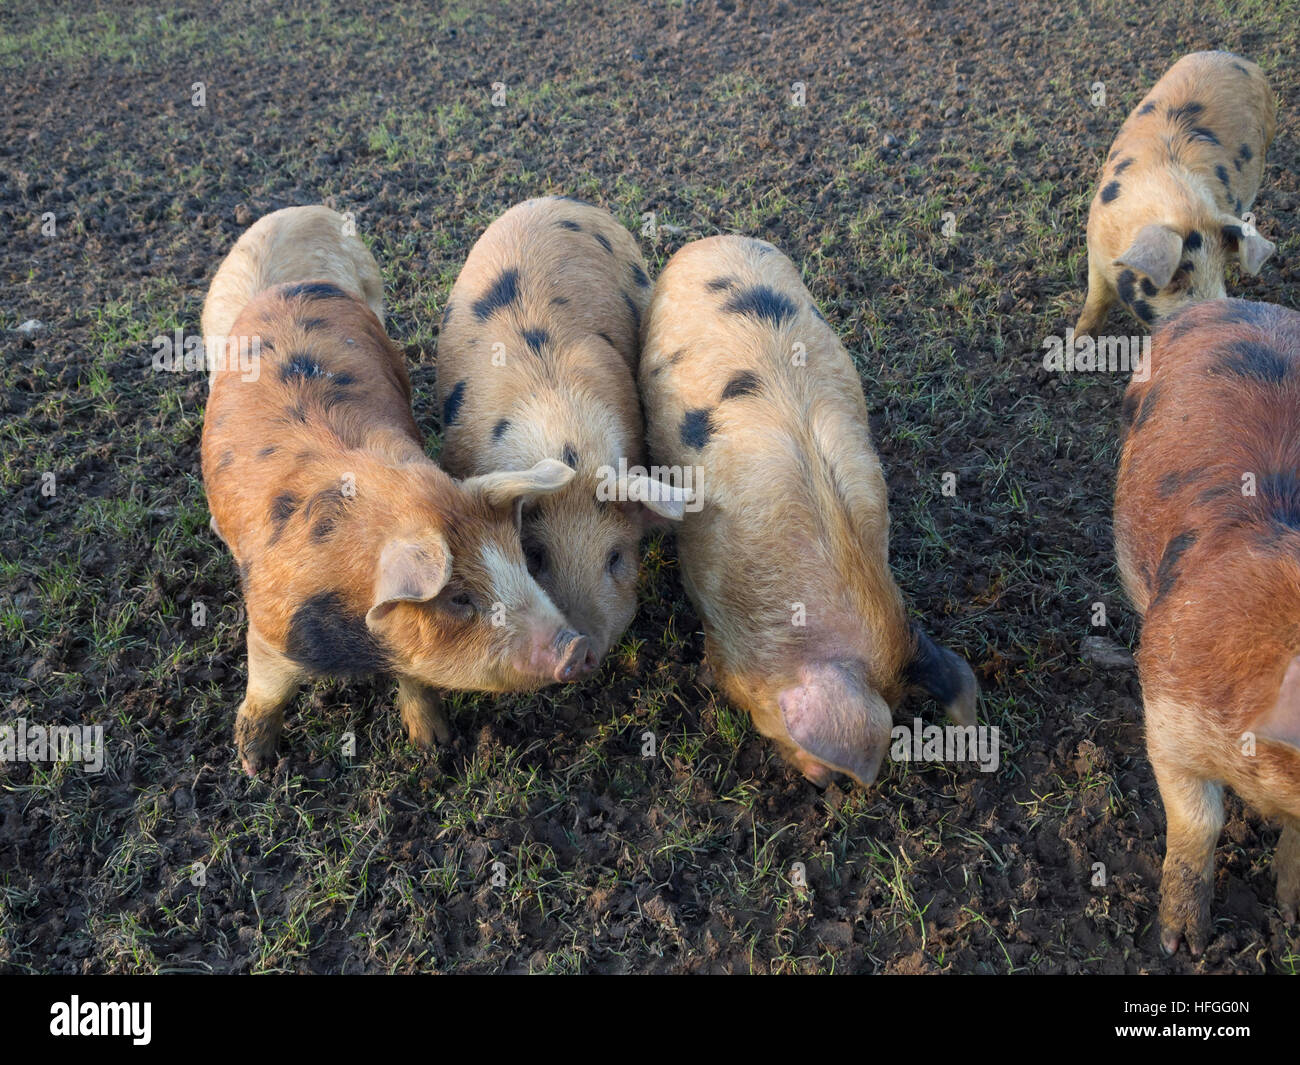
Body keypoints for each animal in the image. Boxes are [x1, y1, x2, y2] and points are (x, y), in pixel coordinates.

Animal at [201, 207, 593, 775]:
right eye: (458, 598)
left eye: (521, 564)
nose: (577, 647)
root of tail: (292, 281)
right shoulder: (272, 621)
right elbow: (267, 691)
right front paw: (257, 768)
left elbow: (415, 680)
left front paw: (435, 746)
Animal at [1075, 51, 1277, 338]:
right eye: (1177, 275)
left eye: (1219, 270)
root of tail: (1231, 56)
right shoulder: (1096, 254)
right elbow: (1094, 305)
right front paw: (1076, 345)